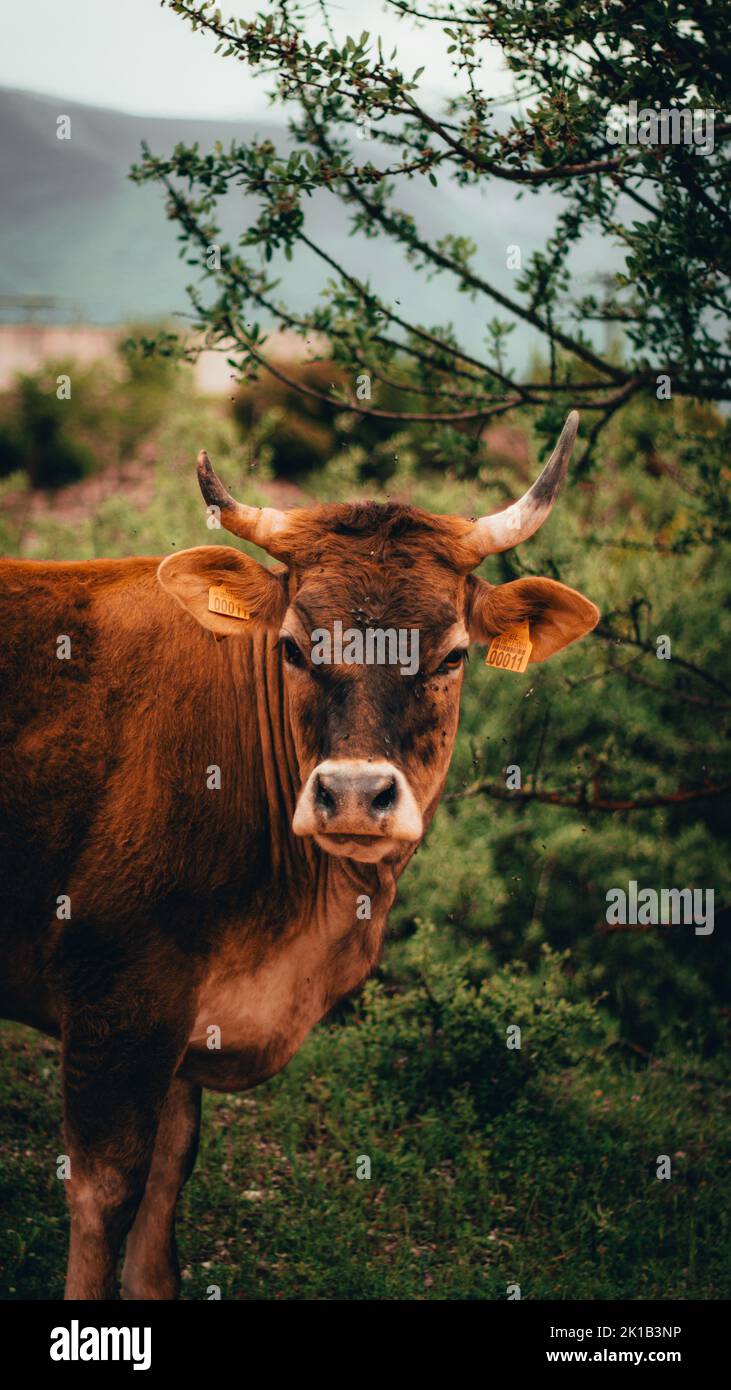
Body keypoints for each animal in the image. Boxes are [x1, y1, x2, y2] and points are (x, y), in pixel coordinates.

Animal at [0, 411, 599, 1300]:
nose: (352, 793)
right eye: (291, 648)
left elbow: (163, 1199)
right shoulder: (115, 999)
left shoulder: (183, 1028)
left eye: (452, 655)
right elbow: (107, 1194)